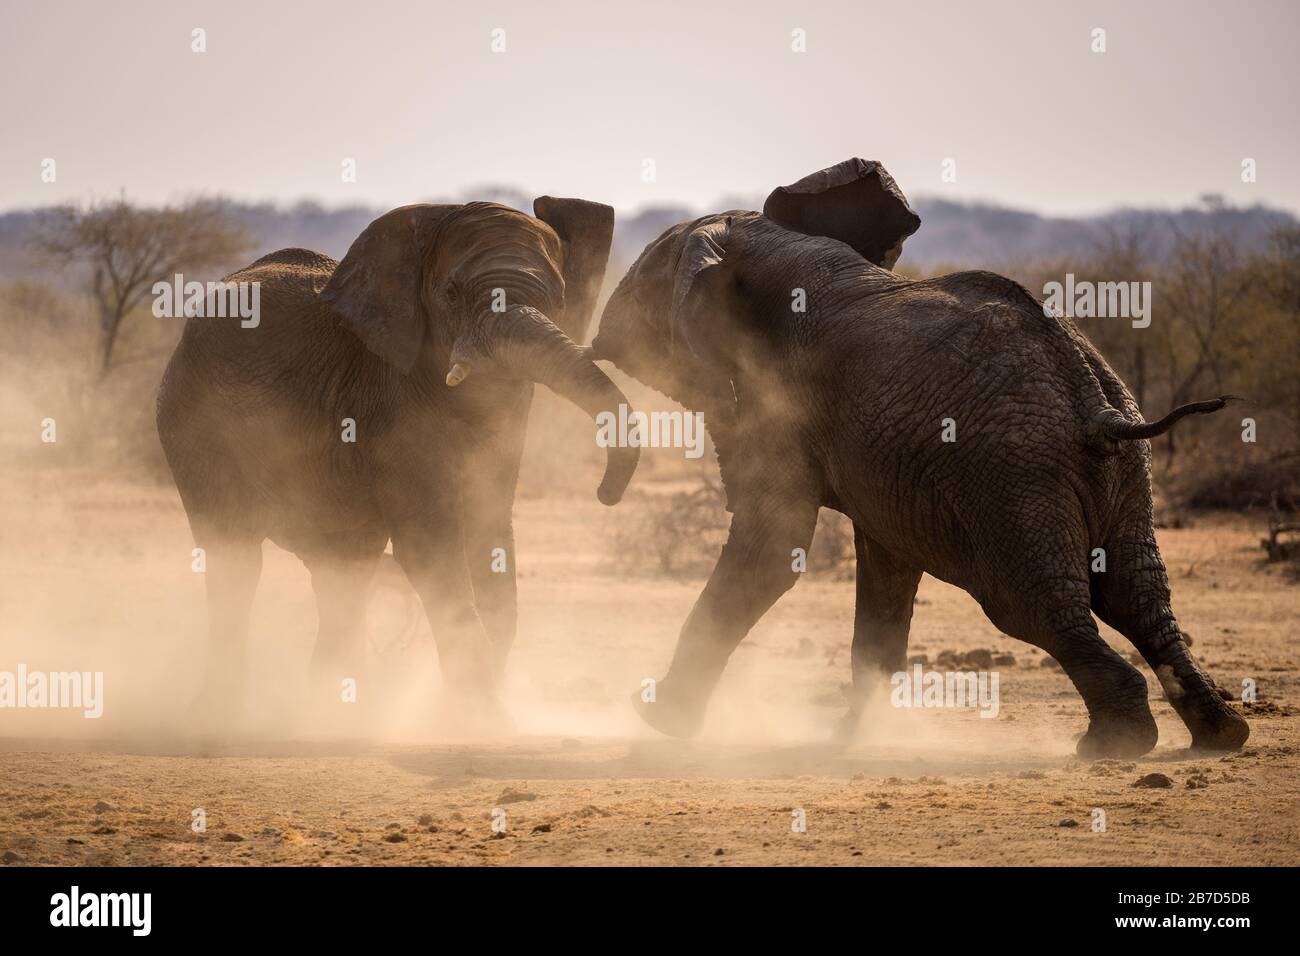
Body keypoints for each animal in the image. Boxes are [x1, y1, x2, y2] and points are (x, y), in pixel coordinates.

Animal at [156, 197, 639, 718]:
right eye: (451, 293)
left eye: (560, 297)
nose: (605, 494)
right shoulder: (391, 402)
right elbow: (429, 544)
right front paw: (487, 720)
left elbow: (489, 532)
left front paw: (470, 712)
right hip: (191, 418)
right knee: (235, 556)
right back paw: (222, 714)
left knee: (345, 567)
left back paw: (337, 709)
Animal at [591, 158, 1249, 757]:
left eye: (645, 275)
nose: (599, 340)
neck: (769, 241)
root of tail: (1089, 396)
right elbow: (885, 566)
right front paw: (845, 742)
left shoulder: (777, 394)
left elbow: (773, 547)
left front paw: (656, 720)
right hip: (1118, 470)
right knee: (1137, 594)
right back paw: (1219, 733)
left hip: (1012, 476)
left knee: (1035, 605)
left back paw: (1116, 742)